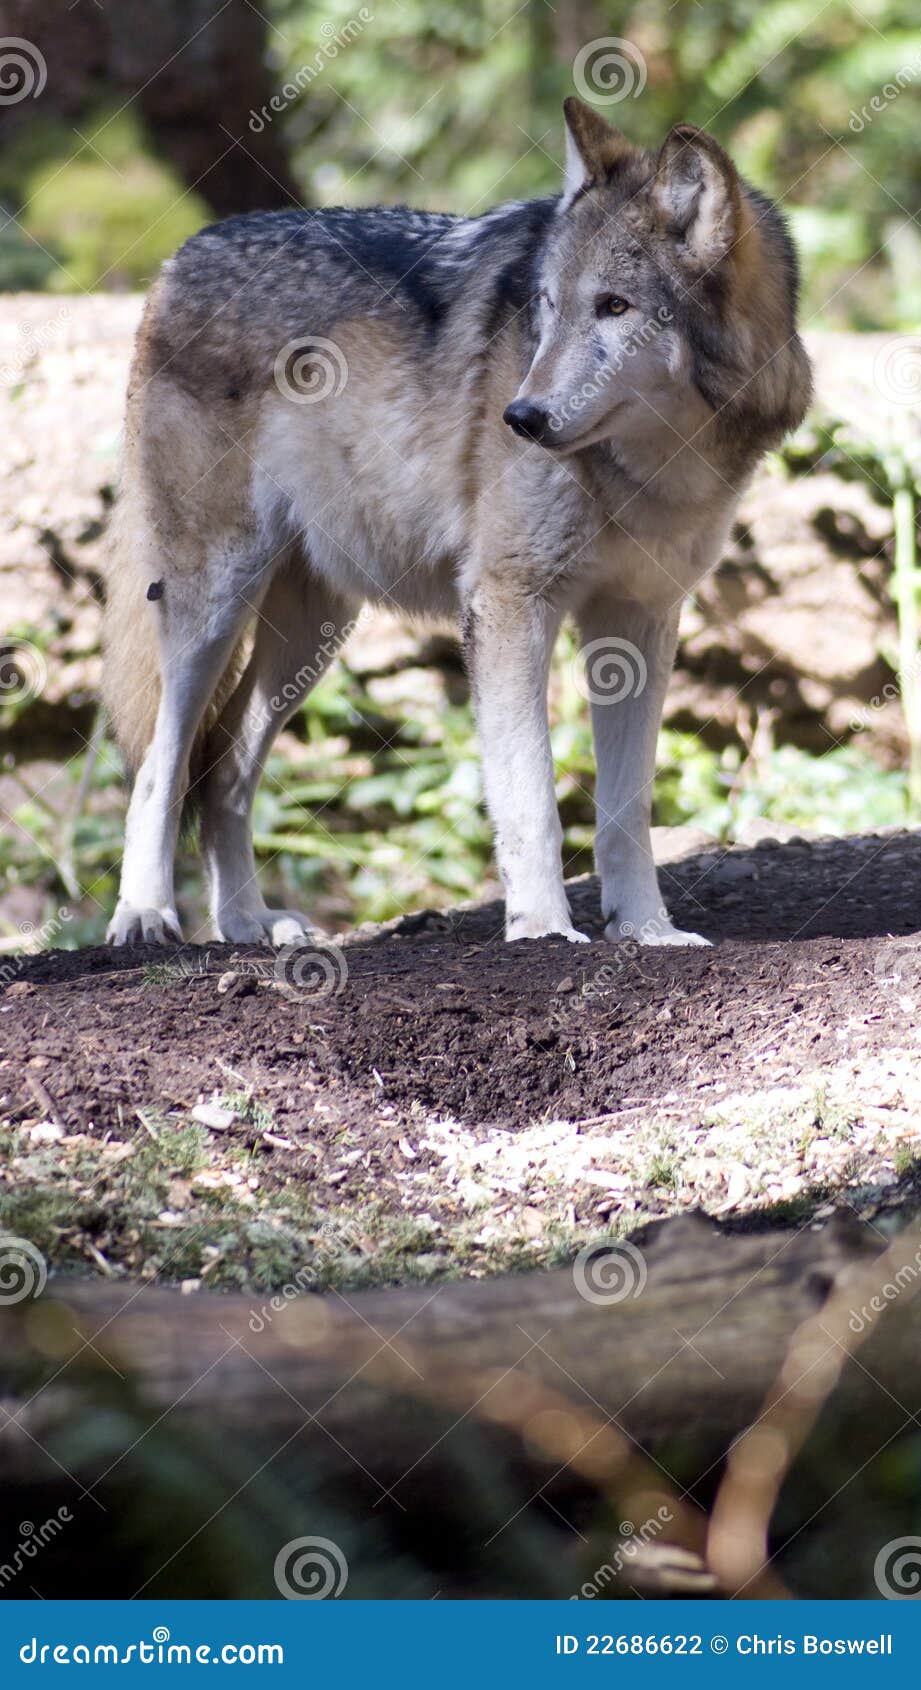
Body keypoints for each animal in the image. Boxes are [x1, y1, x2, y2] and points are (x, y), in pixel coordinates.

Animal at [104, 97, 811, 948]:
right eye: (545, 308)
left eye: (613, 307)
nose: (520, 417)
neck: (656, 468)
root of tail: (179, 258)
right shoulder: (507, 602)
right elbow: (530, 794)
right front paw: (542, 929)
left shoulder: (637, 620)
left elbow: (624, 809)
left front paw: (645, 931)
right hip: (212, 601)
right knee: (161, 764)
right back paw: (145, 913)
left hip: (311, 633)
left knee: (225, 769)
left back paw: (247, 924)